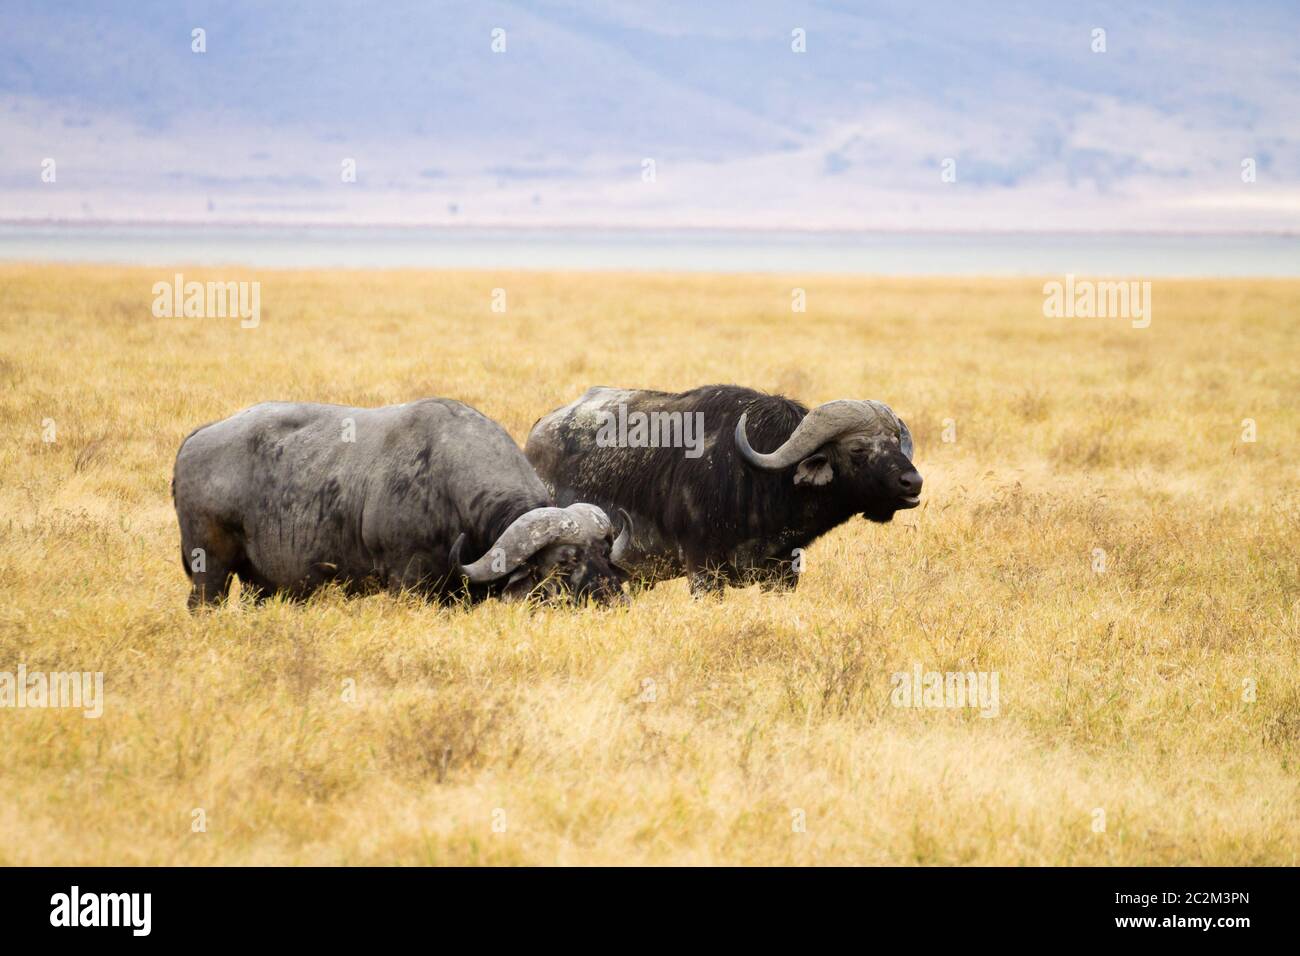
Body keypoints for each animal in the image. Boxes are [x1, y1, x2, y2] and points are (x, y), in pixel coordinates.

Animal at [172, 399, 630, 608]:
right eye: (565, 561)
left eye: (604, 552)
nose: (615, 598)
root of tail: (198, 437)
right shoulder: (406, 581)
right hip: (210, 571)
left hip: (263, 584)